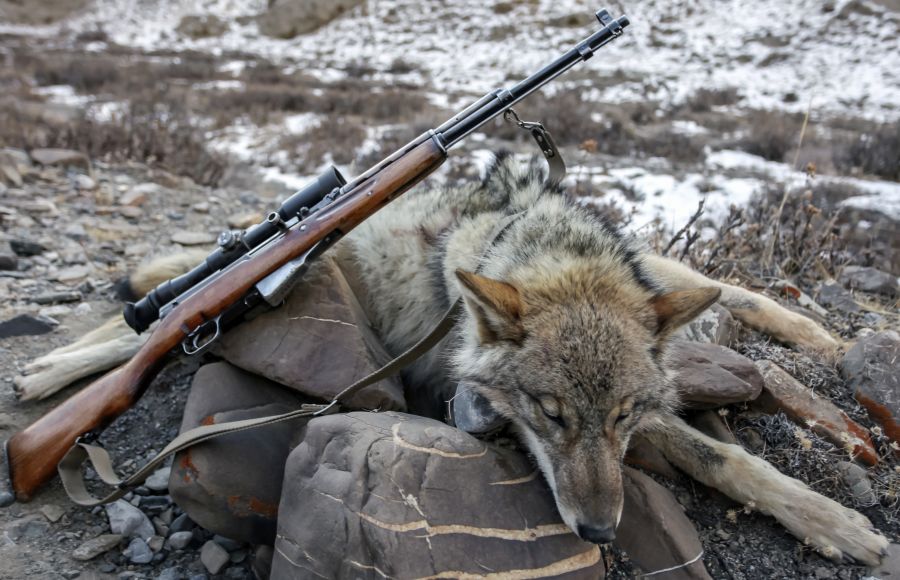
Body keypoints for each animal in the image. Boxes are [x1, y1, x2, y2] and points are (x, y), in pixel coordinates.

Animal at [14, 153, 888, 565]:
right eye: (547, 415)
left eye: (621, 417)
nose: (599, 533)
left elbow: (728, 450)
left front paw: (837, 519)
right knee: (138, 326)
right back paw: (46, 383)